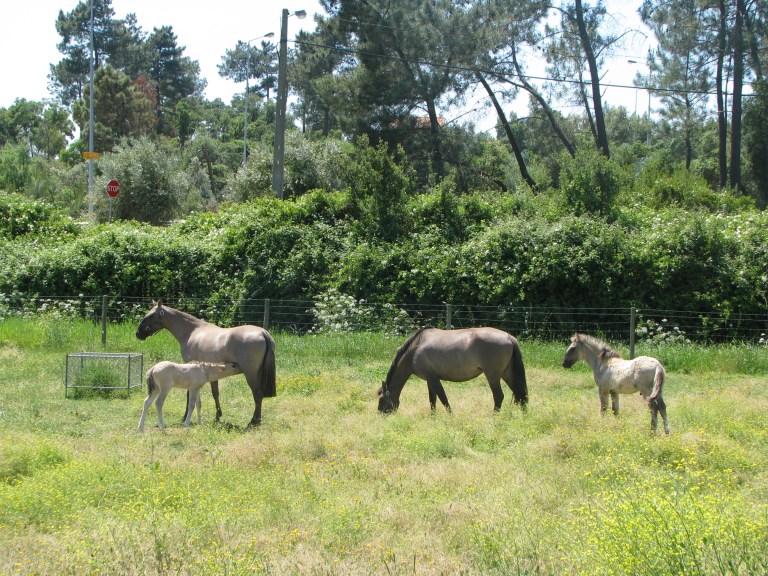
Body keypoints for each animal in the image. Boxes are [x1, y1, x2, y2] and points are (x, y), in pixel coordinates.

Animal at [136, 300, 276, 427]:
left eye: (150, 316)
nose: (138, 334)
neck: (193, 331)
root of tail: (263, 333)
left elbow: (189, 395)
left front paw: (185, 417)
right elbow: (215, 393)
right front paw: (217, 416)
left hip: (251, 374)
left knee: (257, 394)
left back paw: (254, 421)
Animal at [378, 327, 528, 414]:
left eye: (381, 399)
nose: (380, 414)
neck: (416, 348)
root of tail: (509, 337)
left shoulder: (433, 378)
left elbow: (443, 398)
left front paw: (450, 415)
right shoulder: (430, 380)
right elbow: (432, 400)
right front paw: (433, 417)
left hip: (493, 375)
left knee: (499, 396)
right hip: (506, 374)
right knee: (521, 394)